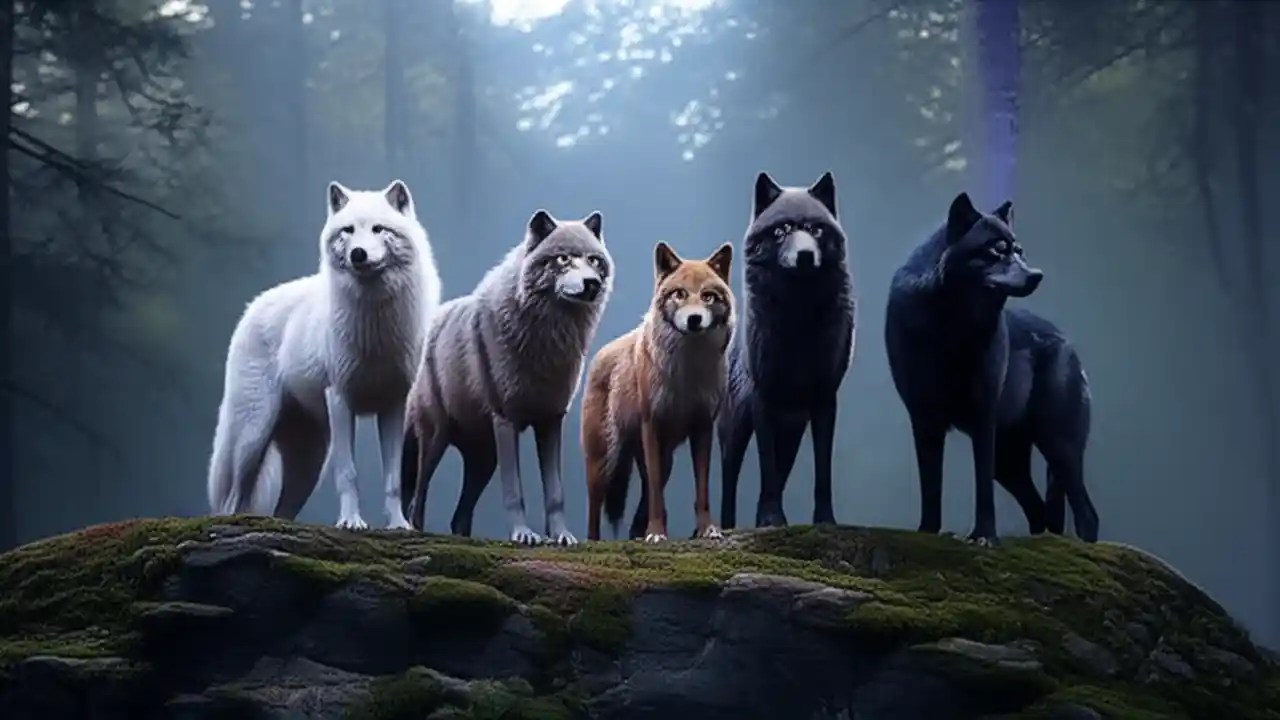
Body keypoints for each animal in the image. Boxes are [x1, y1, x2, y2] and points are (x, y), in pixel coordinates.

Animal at [206, 180, 441, 531]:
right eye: (348, 230)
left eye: (378, 229)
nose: (358, 254)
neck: (375, 321)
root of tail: (252, 306)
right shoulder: (340, 398)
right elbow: (348, 474)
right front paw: (351, 522)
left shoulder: (393, 407)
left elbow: (393, 480)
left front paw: (399, 525)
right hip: (252, 439)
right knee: (232, 500)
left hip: (309, 462)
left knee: (282, 510)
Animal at [401, 210, 612, 545]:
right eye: (563, 258)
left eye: (593, 260)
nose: (591, 284)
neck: (546, 341)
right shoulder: (506, 420)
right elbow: (515, 491)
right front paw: (523, 534)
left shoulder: (551, 421)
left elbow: (555, 492)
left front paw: (561, 536)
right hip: (435, 440)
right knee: (416, 499)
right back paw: (414, 531)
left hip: (484, 460)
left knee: (459, 516)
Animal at [582, 241, 735, 543]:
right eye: (679, 294)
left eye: (708, 297)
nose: (694, 319)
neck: (687, 372)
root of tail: (599, 354)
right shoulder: (651, 426)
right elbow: (655, 494)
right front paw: (656, 534)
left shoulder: (703, 428)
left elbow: (702, 491)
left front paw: (707, 530)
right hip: (603, 463)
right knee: (594, 510)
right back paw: (594, 541)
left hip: (664, 461)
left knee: (639, 507)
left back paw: (637, 534)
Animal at [718, 171, 857, 529]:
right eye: (781, 231)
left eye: (816, 230)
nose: (805, 255)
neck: (799, 320)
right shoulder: (762, 399)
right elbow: (766, 468)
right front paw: (770, 519)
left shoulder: (825, 401)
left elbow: (822, 473)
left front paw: (824, 520)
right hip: (735, 429)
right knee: (729, 478)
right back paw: (723, 527)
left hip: (792, 432)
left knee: (782, 471)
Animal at [884, 191, 1100, 545]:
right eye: (997, 249)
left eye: (1019, 250)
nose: (1036, 274)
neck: (951, 327)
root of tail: (1067, 341)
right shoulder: (924, 419)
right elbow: (931, 488)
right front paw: (928, 532)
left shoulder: (983, 417)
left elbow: (981, 487)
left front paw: (985, 537)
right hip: (1011, 462)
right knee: (1040, 511)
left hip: (1058, 448)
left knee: (1086, 514)